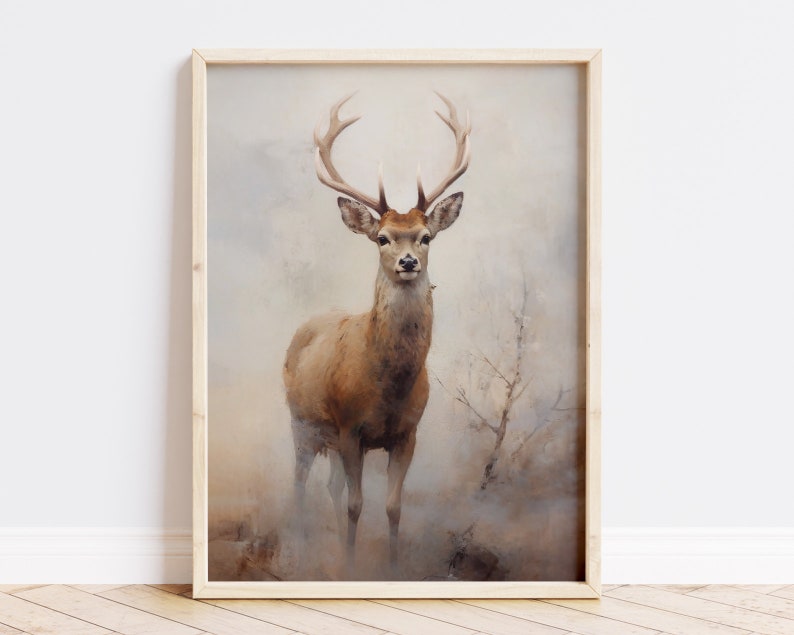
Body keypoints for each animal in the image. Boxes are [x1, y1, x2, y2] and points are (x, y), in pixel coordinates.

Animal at [283, 93, 470, 572]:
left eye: (426, 236)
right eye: (382, 238)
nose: (408, 261)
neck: (387, 386)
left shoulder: (407, 433)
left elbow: (392, 507)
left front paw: (391, 564)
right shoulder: (351, 429)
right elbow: (356, 505)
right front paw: (351, 566)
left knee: (329, 485)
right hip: (301, 422)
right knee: (299, 483)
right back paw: (301, 545)